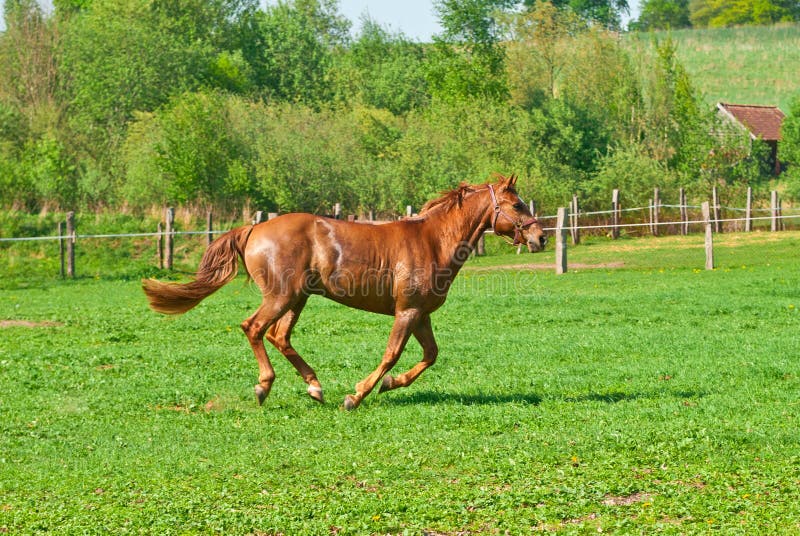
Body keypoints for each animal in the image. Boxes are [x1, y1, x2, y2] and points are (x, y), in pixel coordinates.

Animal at [142, 174, 547, 410]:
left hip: (298, 299)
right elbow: (392, 354)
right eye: (517, 204)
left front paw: (390, 385)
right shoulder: (407, 311)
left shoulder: (420, 314)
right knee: (254, 328)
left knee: (279, 336)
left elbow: (430, 355)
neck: (432, 240)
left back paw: (315, 388)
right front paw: (358, 395)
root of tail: (254, 229)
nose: (540, 238)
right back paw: (264, 388)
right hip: (281, 297)